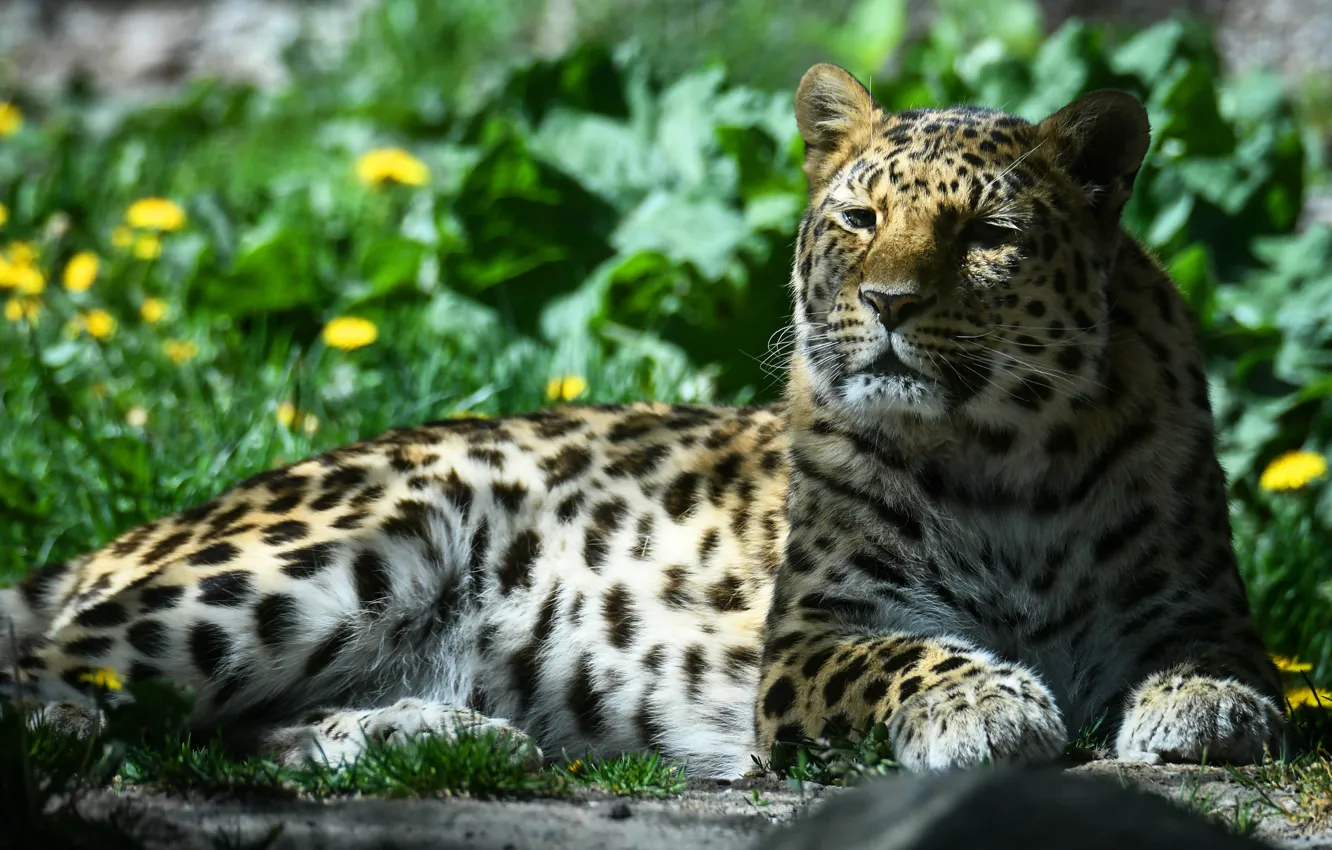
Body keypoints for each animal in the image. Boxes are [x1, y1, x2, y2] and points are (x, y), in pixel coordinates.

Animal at [0, 63, 1283, 778]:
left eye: (989, 236)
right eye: (860, 219)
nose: (888, 303)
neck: (1004, 455)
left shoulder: (1198, 603)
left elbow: (1223, 660)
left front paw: (1210, 705)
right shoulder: (815, 636)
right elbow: (903, 655)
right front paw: (991, 704)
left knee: (212, 727)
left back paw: (448, 736)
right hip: (337, 551)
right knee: (63, 674)